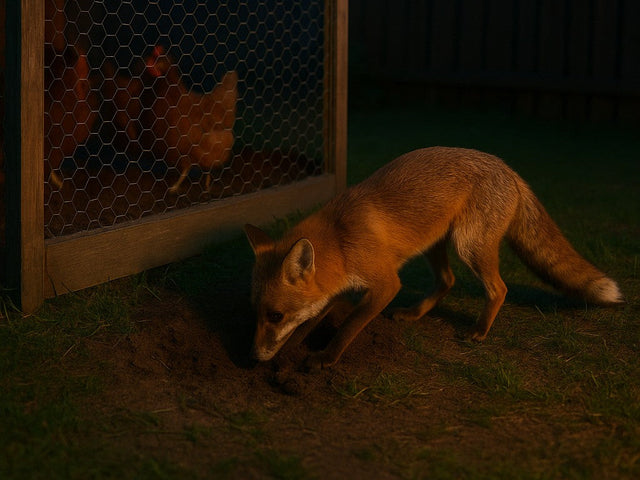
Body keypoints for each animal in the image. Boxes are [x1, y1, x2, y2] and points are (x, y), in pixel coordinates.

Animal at [245, 147, 623, 370]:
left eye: (275, 315)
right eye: (258, 312)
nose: (254, 357)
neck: (340, 240)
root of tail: (507, 167)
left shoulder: (385, 284)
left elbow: (349, 326)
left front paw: (325, 358)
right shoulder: (335, 289)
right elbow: (309, 322)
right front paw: (291, 353)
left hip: (467, 245)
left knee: (498, 288)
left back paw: (480, 330)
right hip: (434, 244)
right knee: (448, 280)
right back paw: (415, 313)